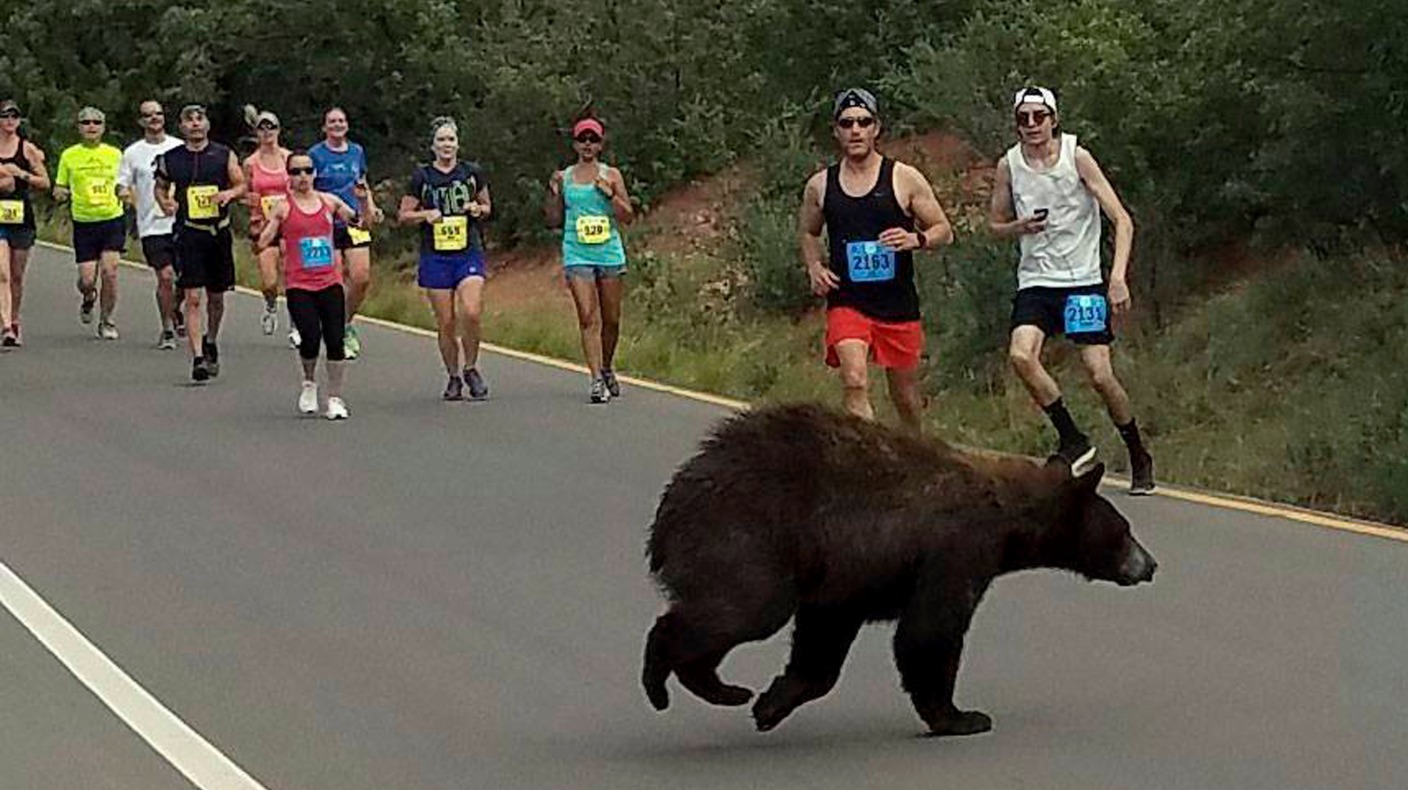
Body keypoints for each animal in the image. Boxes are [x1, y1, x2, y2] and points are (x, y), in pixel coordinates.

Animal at [641, 403, 1157, 737]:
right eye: (1124, 529)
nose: (1150, 564)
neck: (1011, 516)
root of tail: (667, 513)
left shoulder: (848, 571)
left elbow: (825, 634)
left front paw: (775, 701)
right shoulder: (957, 547)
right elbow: (930, 631)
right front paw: (961, 717)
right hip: (745, 537)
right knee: (742, 609)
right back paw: (683, 684)